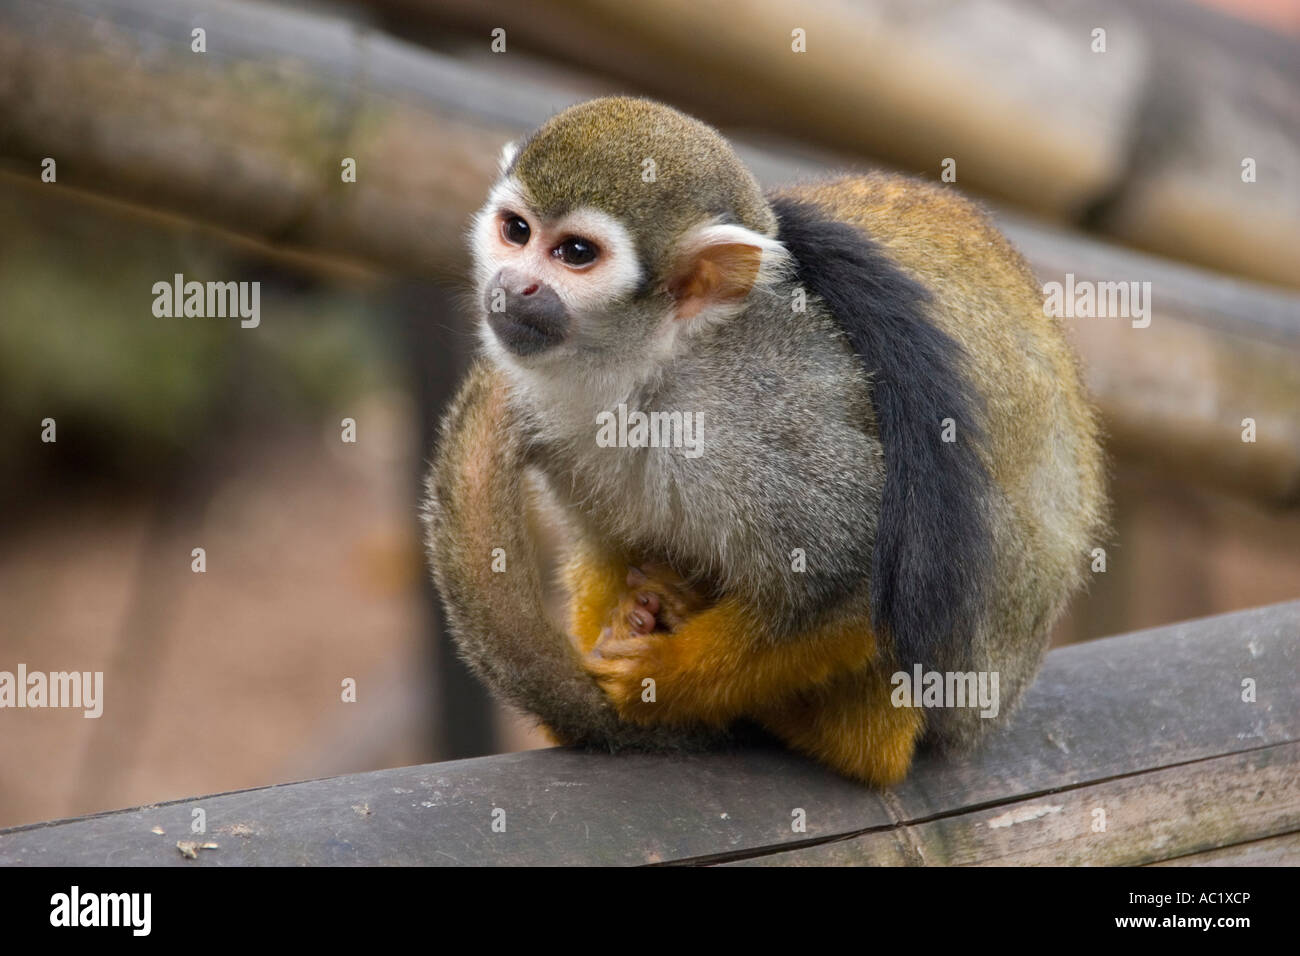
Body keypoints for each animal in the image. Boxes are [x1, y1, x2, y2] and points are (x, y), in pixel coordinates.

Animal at [423, 96, 1106, 786]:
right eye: (516, 231)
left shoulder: (763, 421)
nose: (515, 285)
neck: (653, 372)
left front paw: (660, 679)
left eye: (576, 253)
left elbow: (854, 577)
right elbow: (605, 546)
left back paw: (846, 739)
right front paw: (631, 630)